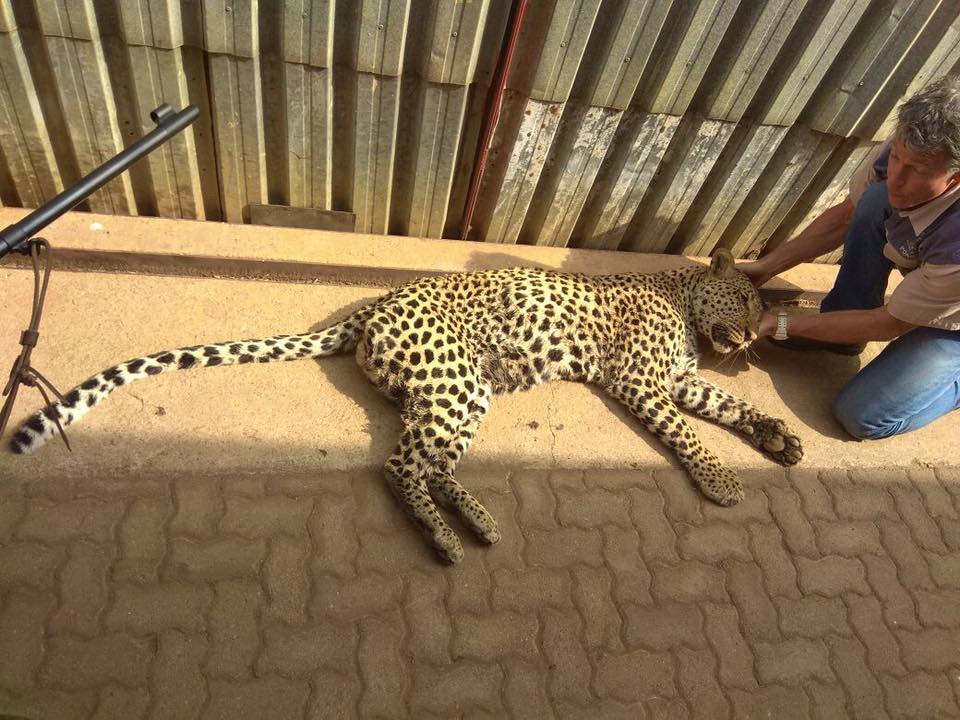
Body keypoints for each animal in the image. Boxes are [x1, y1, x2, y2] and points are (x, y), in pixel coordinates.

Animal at [9, 248, 802, 563]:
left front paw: (778, 436)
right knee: (397, 466)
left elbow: (727, 407)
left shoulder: (680, 380)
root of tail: (375, 303)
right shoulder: (641, 382)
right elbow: (690, 435)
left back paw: (476, 523)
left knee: (430, 464)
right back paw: (446, 540)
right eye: (742, 299)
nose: (745, 338)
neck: (688, 307)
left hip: (466, 390)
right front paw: (723, 482)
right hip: (455, 384)